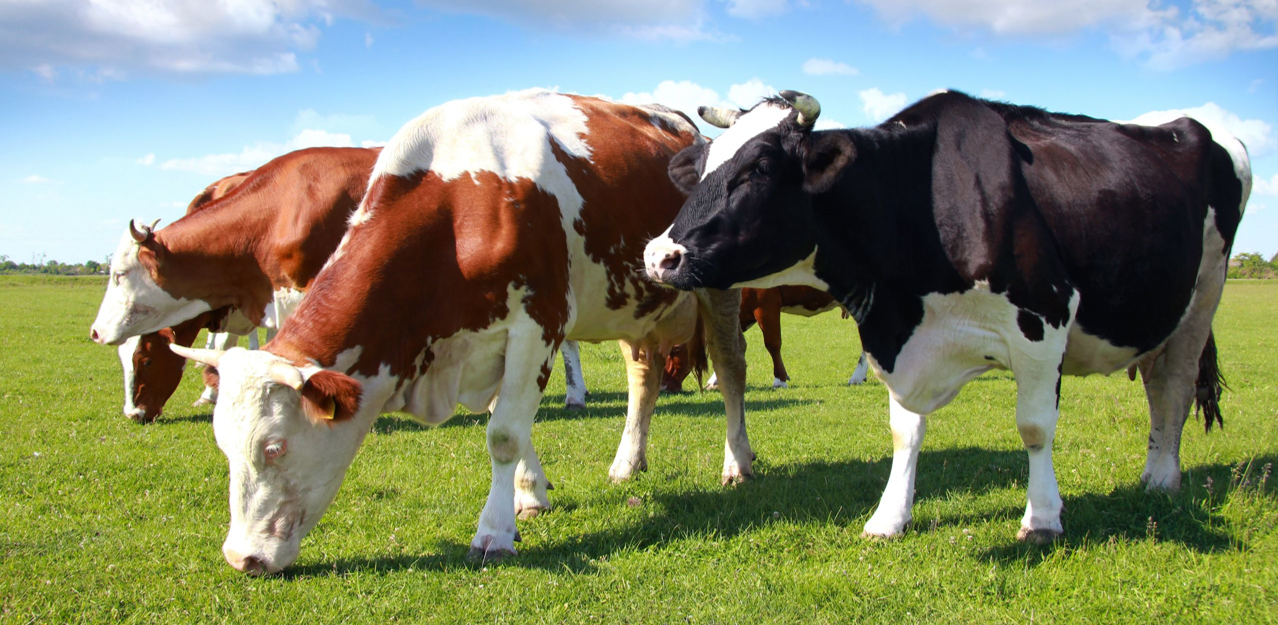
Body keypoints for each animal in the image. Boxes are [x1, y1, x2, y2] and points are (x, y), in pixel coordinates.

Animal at [159, 90, 749, 574]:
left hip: (717, 288)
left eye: (275, 447)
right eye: (224, 445)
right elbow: (512, 426)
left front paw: (494, 532)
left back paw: (738, 463)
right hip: (630, 305)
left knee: (730, 368)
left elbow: (504, 433)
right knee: (643, 379)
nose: (241, 558)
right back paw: (628, 463)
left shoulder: (538, 324)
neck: (462, 203)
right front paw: (529, 496)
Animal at [644, 90, 1250, 543]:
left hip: (1204, 295)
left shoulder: (1045, 318)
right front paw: (889, 517)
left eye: (761, 167)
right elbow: (904, 431)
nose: (658, 255)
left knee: (1174, 385)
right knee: (1155, 382)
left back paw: (1162, 477)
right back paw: (1154, 470)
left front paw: (1042, 519)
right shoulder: (900, 337)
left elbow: (1034, 427)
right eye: (705, 166)